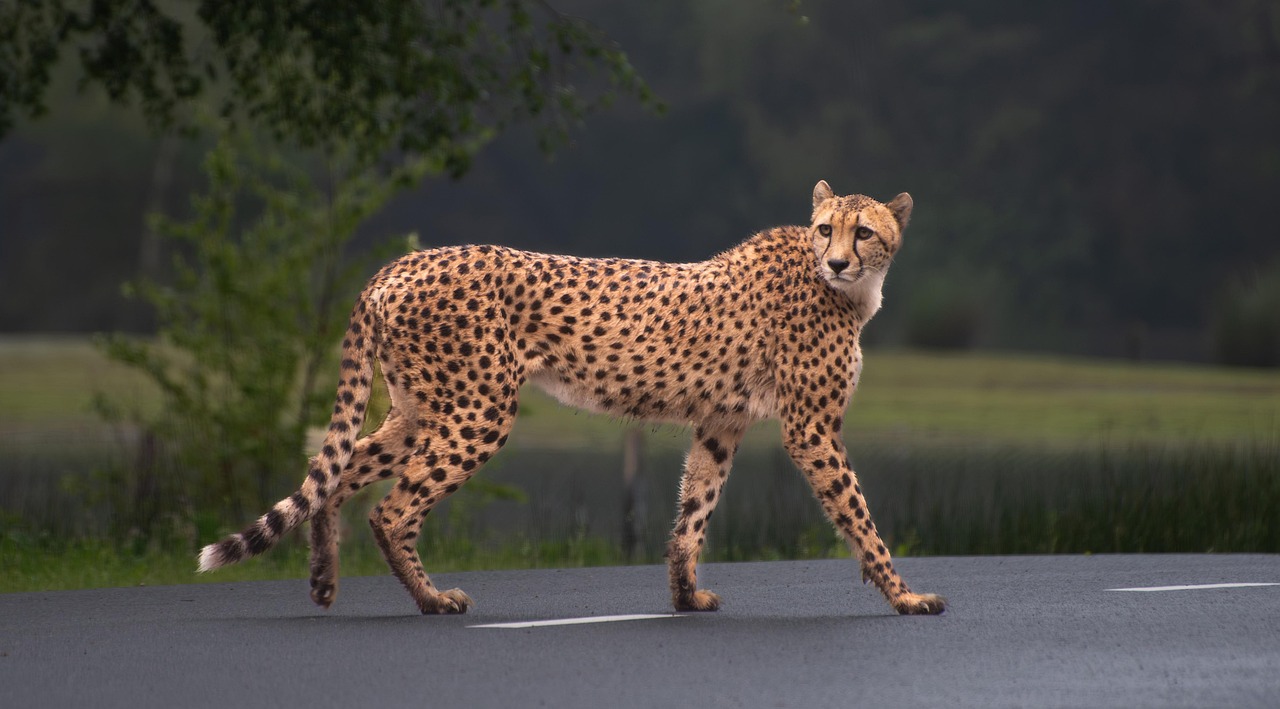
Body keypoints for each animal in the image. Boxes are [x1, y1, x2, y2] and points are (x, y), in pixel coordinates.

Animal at [197, 180, 947, 617]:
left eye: (864, 231)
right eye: (826, 229)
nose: (838, 261)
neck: (848, 290)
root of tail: (400, 263)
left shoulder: (720, 421)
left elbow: (693, 512)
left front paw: (684, 595)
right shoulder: (813, 430)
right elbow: (859, 516)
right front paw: (905, 594)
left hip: (420, 408)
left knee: (338, 469)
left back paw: (325, 578)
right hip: (478, 410)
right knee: (392, 506)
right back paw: (432, 598)